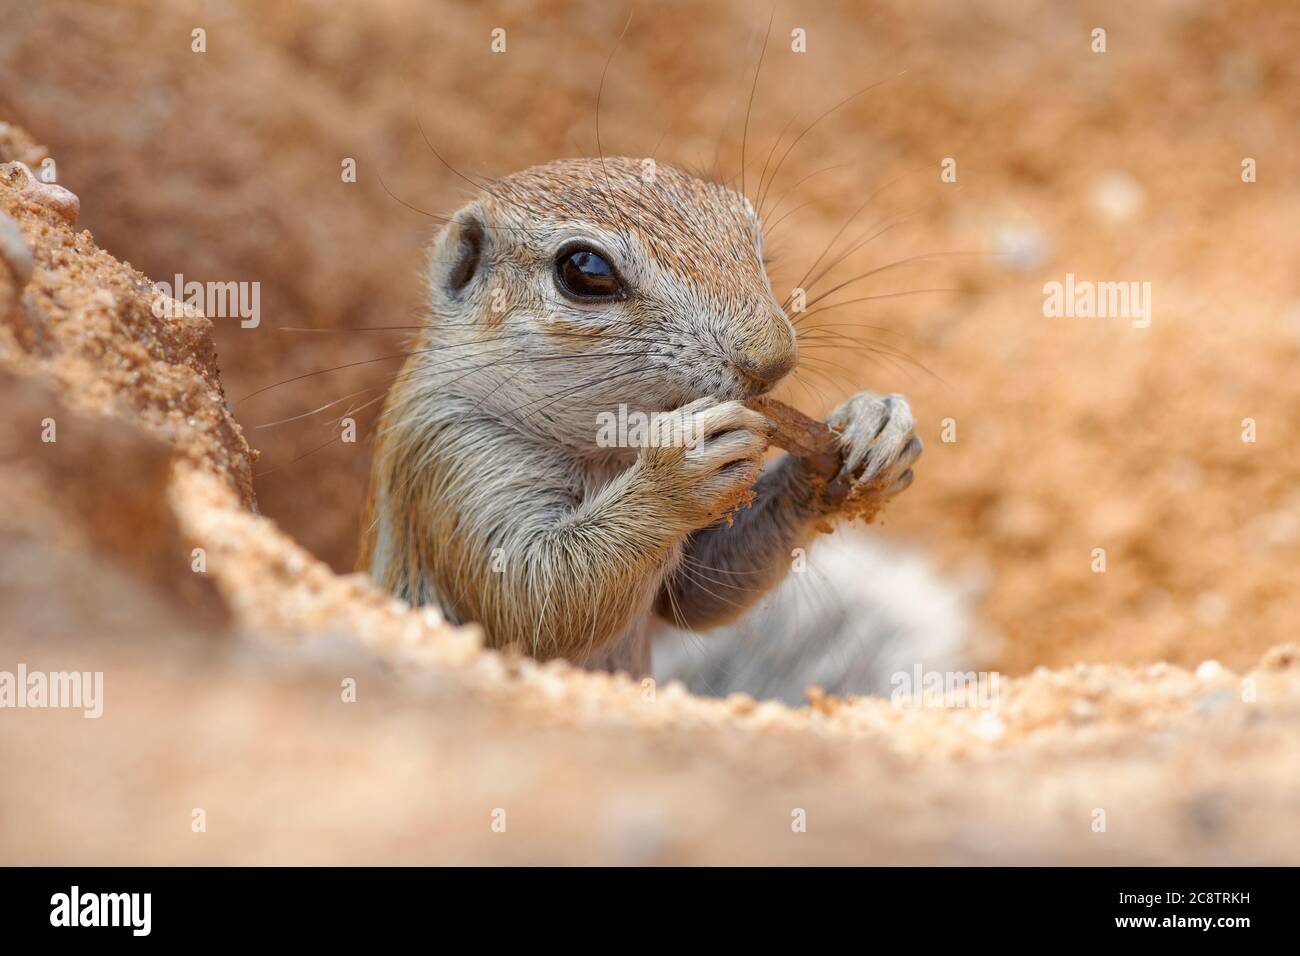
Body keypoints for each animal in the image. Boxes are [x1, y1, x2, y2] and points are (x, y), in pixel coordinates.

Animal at [359, 157, 922, 675]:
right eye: (584, 269)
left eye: (753, 237)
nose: (774, 361)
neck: (603, 455)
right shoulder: (448, 456)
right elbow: (531, 599)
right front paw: (677, 470)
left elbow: (696, 595)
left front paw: (870, 421)